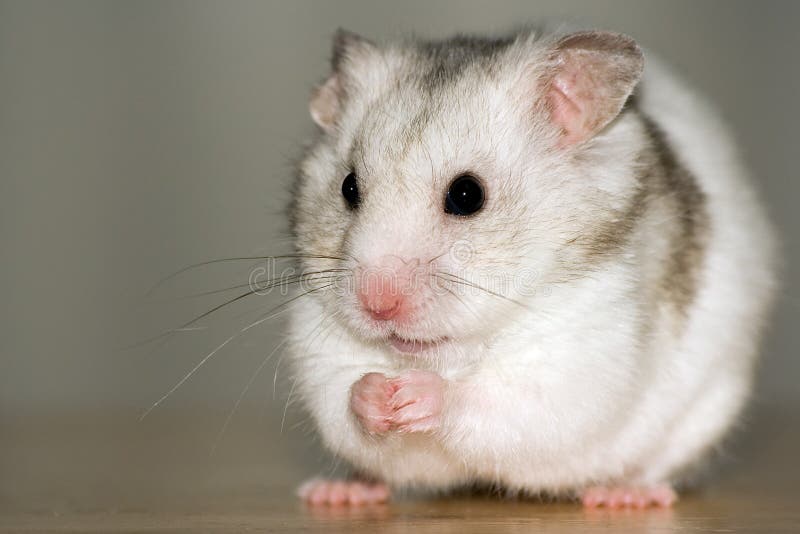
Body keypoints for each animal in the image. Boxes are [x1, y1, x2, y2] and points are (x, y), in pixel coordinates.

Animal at [287, 28, 777, 508]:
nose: (377, 305)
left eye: (467, 195)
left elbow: (498, 399)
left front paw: (413, 395)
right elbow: (341, 397)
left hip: (703, 413)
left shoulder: (582, 354)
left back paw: (624, 495)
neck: (446, 354)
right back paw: (337, 493)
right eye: (349, 187)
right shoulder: (319, 349)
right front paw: (375, 394)